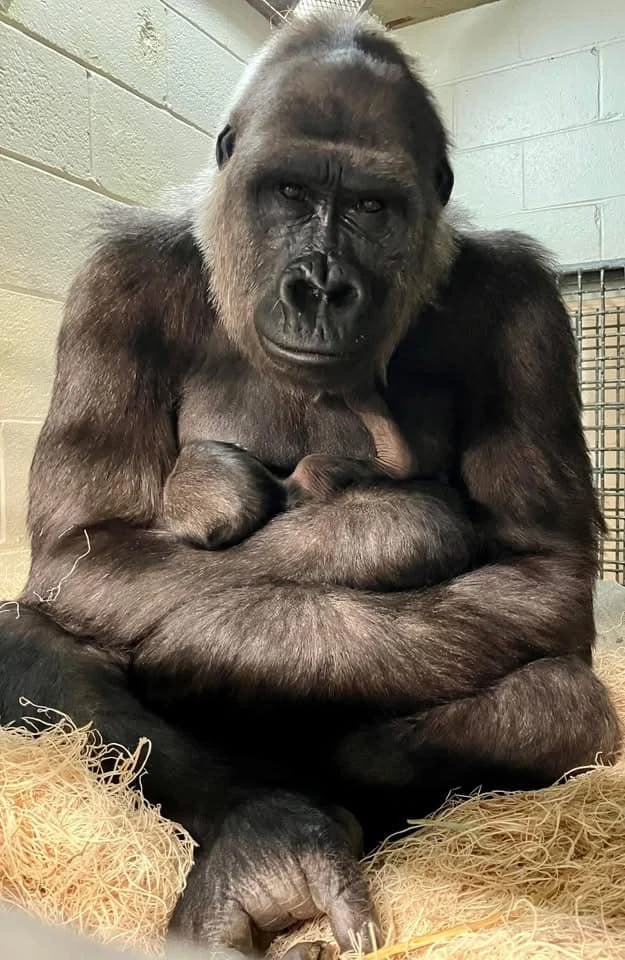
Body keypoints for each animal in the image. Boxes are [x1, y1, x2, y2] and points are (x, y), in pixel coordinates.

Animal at [0, 11, 619, 958]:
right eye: (289, 193)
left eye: (368, 206)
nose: (320, 285)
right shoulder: (119, 283)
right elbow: (84, 547)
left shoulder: (526, 312)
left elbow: (541, 565)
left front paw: (225, 641)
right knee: (31, 644)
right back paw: (265, 839)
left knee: (560, 701)